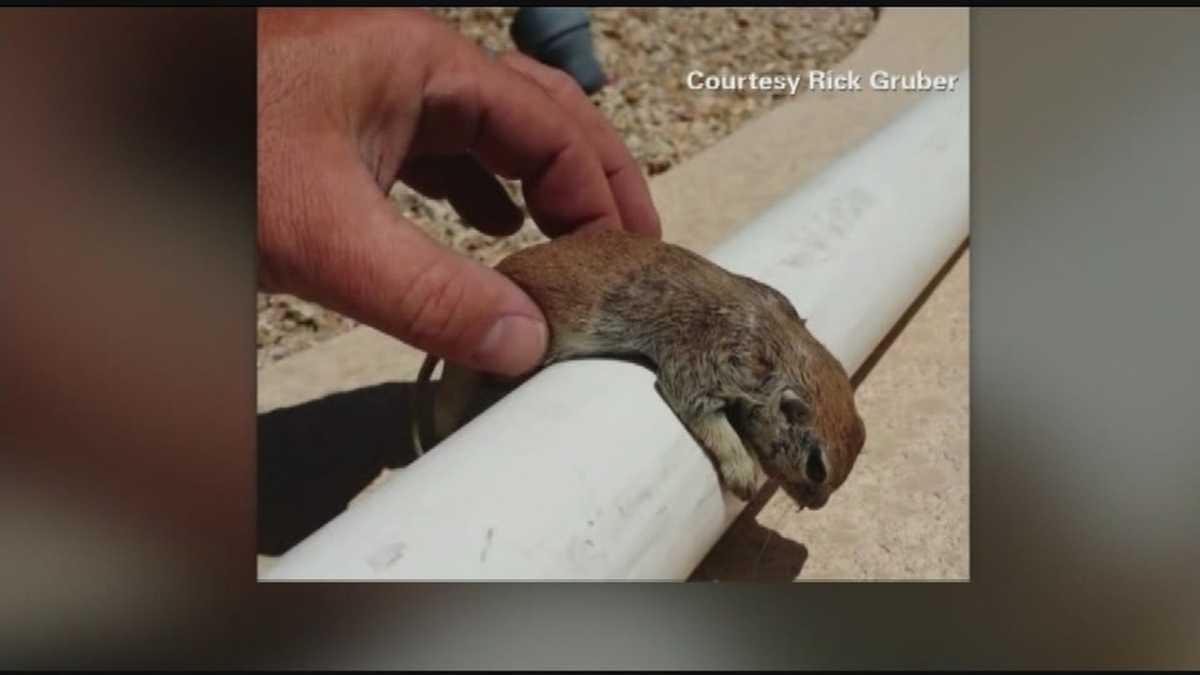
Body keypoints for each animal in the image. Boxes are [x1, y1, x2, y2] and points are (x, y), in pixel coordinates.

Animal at [412, 227, 866, 510]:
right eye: (817, 468)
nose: (816, 507)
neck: (776, 346)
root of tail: (497, 270)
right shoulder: (702, 360)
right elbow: (698, 410)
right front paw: (743, 472)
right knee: (453, 383)